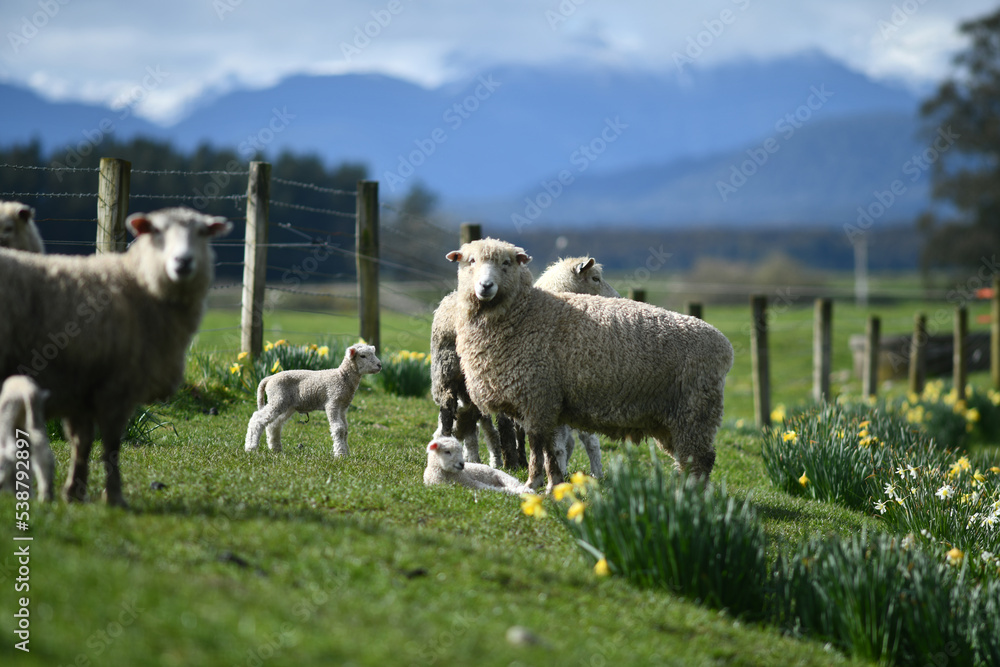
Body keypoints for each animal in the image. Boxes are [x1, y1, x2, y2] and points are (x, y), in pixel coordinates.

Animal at [0, 207, 232, 506]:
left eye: (203, 232)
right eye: (156, 231)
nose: (183, 261)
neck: (140, 283)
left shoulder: (82, 383)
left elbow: (82, 441)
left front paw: (75, 491)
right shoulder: (116, 384)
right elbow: (110, 443)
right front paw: (113, 496)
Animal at [244, 344, 382, 456]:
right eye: (363, 356)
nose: (379, 365)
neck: (342, 377)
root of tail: (268, 378)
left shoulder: (343, 407)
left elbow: (345, 429)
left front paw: (346, 453)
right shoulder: (332, 402)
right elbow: (338, 428)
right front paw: (340, 454)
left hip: (287, 405)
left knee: (274, 424)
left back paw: (276, 449)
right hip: (277, 399)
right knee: (257, 419)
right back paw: (251, 447)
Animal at [447, 238, 733, 491]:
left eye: (506, 263)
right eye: (471, 261)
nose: (485, 286)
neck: (526, 312)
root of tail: (724, 345)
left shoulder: (539, 397)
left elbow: (539, 446)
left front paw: (534, 484)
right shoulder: (547, 403)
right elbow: (550, 449)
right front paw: (553, 484)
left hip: (695, 411)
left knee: (700, 459)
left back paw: (692, 497)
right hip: (670, 419)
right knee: (687, 459)